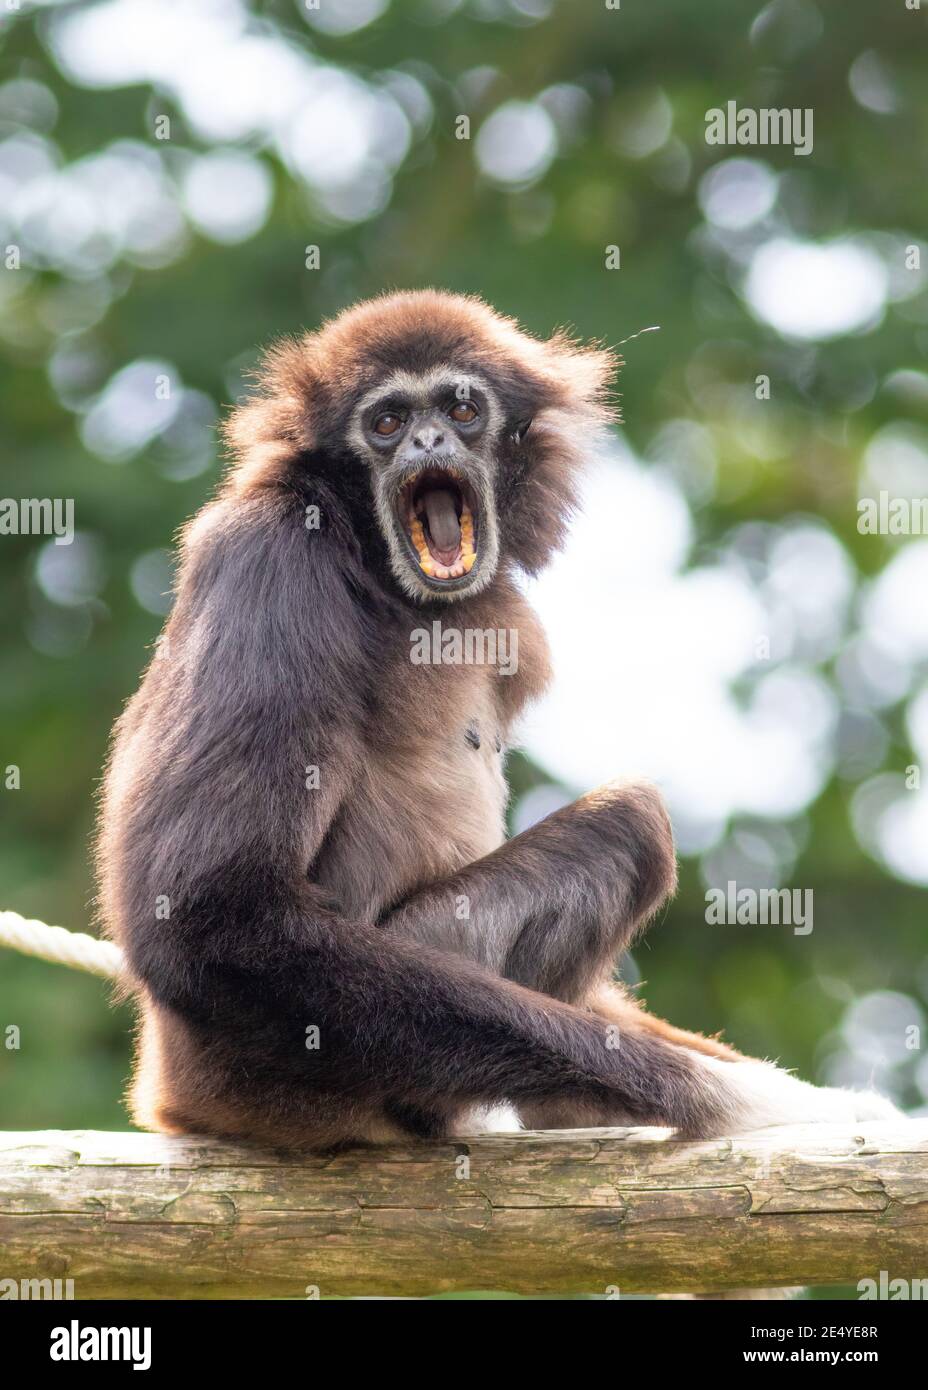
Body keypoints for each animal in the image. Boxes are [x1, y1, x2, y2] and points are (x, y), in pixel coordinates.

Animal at [96, 289, 899, 1150]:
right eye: (386, 421)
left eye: (460, 408)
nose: (428, 441)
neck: (363, 550)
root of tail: (171, 1088)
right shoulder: (266, 559)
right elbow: (206, 916)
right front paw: (743, 1102)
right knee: (632, 822)